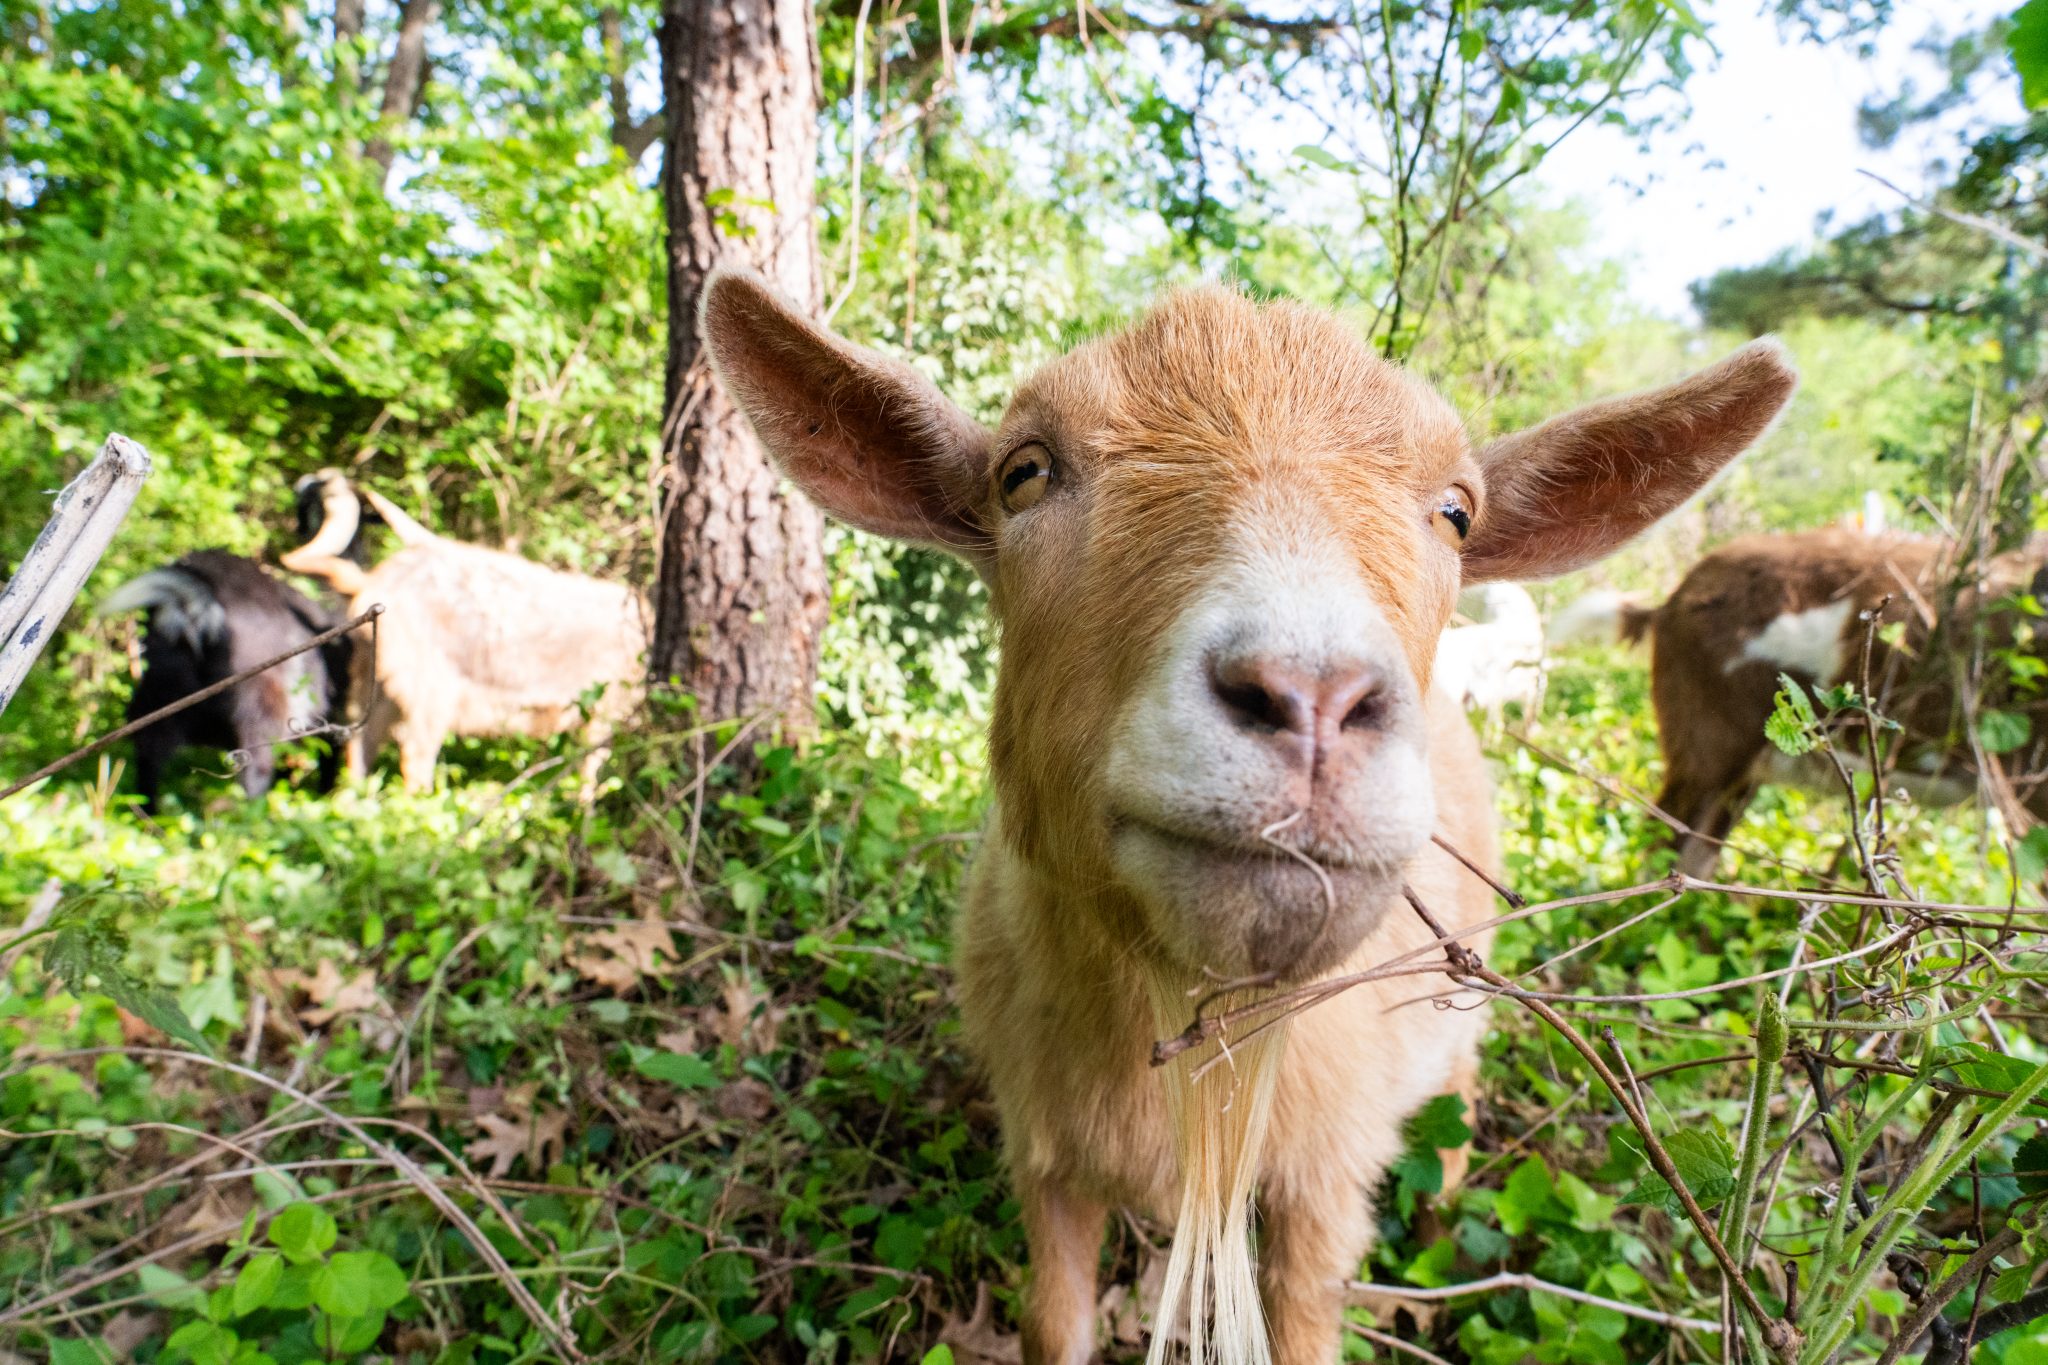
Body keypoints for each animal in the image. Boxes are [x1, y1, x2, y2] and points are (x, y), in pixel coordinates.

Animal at [281, 471, 648, 791]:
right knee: (414, 759)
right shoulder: (605, 710)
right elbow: (590, 770)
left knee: (358, 751)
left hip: (376, 687)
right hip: (429, 689)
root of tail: (372, 587)